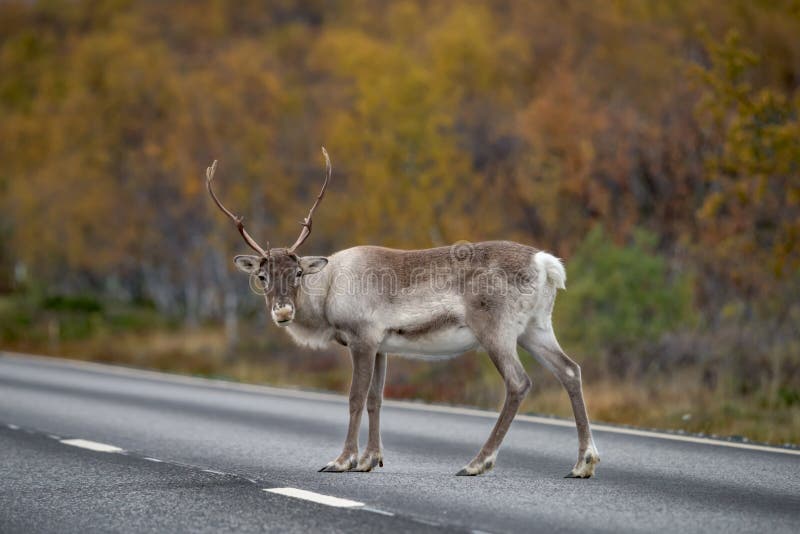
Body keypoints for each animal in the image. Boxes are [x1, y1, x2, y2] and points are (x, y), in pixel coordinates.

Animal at [205, 148, 600, 477]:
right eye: (262, 276)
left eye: (299, 272)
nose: (283, 310)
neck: (328, 292)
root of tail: (546, 263)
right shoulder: (382, 346)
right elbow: (376, 400)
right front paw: (370, 460)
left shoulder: (362, 338)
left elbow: (355, 398)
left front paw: (342, 460)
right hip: (536, 328)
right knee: (571, 370)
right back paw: (583, 462)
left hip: (495, 330)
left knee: (519, 382)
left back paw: (477, 463)